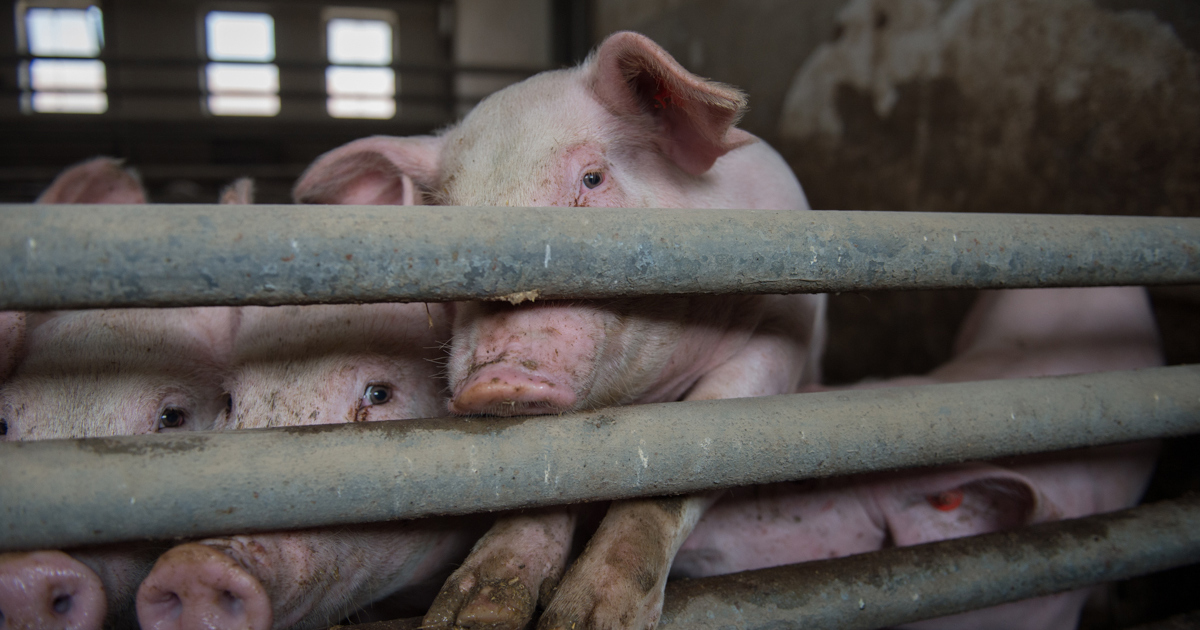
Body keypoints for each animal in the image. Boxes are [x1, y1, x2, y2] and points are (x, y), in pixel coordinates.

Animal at [292, 31, 827, 630]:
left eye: (592, 179)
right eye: (446, 219)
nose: (497, 379)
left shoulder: (780, 342)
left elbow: (685, 468)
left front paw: (592, 618)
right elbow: (551, 475)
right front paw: (474, 614)